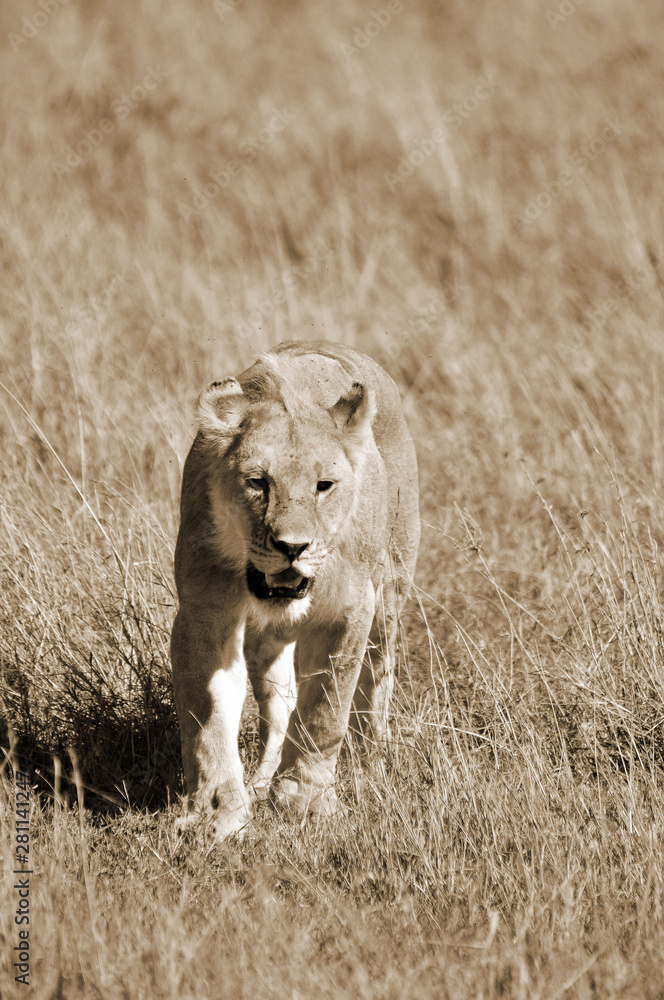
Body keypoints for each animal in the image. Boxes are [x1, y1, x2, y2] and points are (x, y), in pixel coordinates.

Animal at [171, 340, 420, 840]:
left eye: (324, 485)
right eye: (257, 482)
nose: (292, 547)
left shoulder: (349, 609)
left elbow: (326, 709)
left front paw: (305, 802)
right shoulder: (203, 610)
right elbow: (209, 715)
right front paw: (218, 813)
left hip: (391, 590)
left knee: (376, 680)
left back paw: (372, 761)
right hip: (265, 643)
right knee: (279, 703)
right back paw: (261, 780)